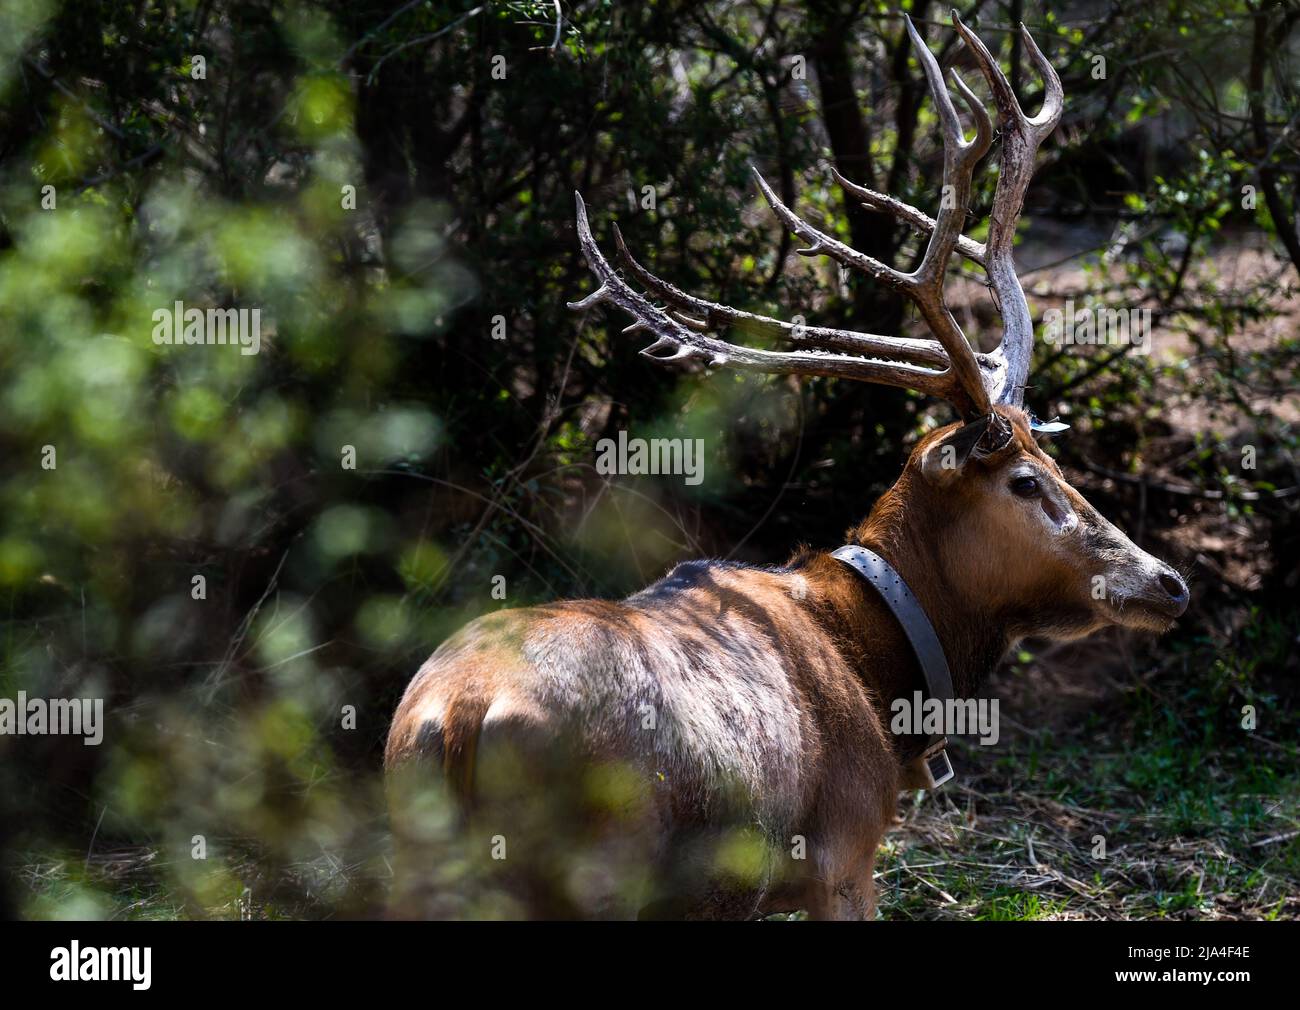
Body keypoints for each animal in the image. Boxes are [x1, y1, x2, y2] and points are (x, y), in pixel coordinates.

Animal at [384, 12, 1190, 920]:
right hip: (597, 875)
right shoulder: (843, 856)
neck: (880, 669)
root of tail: (456, 719)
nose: (1168, 582)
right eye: (1028, 481)